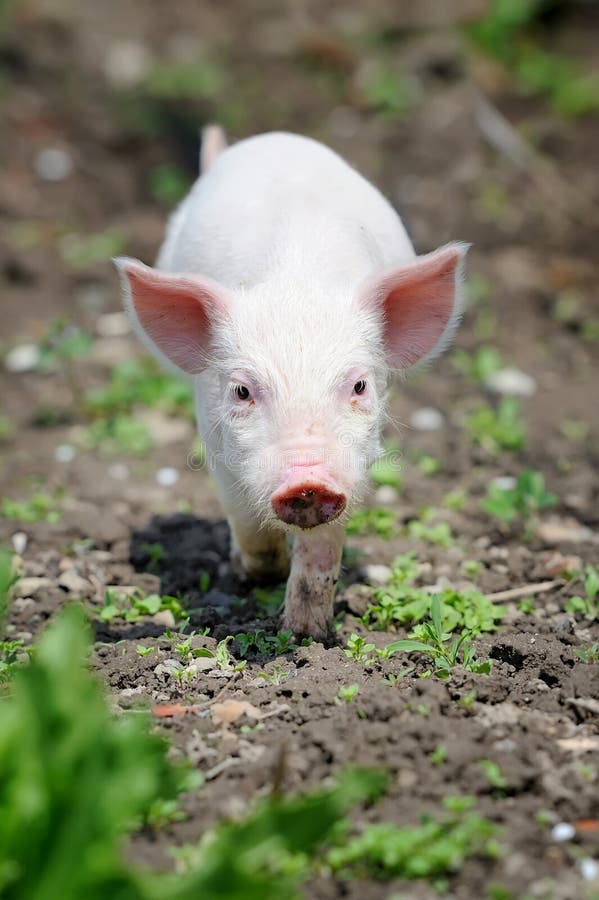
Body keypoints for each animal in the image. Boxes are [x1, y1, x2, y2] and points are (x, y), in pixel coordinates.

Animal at [115, 128, 467, 639]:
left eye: (359, 386)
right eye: (242, 391)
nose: (308, 481)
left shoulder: (355, 461)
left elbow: (322, 552)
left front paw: (307, 633)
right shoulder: (214, 437)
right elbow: (244, 515)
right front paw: (257, 572)